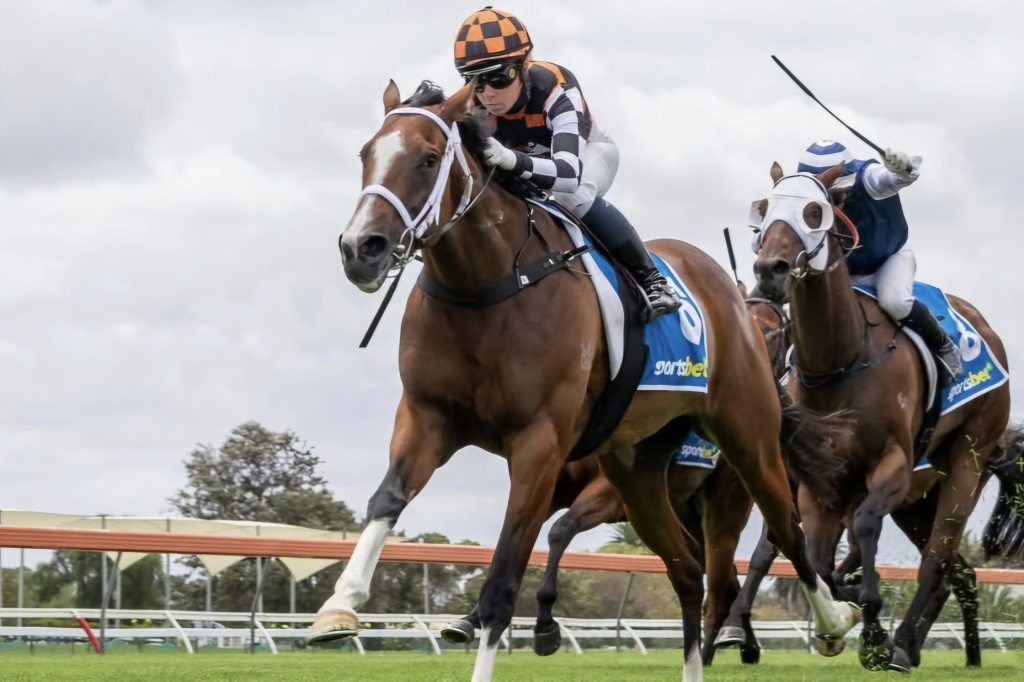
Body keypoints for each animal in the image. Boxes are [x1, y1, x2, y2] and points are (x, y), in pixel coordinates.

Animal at [308, 81, 858, 682]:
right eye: (366, 154)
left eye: (429, 159)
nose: (361, 248)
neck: (488, 285)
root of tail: (728, 293)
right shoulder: (428, 418)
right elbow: (387, 498)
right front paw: (338, 607)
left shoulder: (540, 445)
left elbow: (506, 578)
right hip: (638, 471)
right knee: (688, 572)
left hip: (746, 442)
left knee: (781, 535)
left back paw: (835, 622)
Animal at [749, 162, 1010, 671]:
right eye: (765, 208)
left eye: (815, 211)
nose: (769, 270)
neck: (840, 362)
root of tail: (985, 328)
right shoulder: (821, 481)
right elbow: (817, 559)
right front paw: (848, 617)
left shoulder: (892, 462)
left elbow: (866, 526)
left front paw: (871, 622)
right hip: (919, 497)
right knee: (954, 567)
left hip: (967, 461)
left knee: (936, 558)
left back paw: (904, 644)